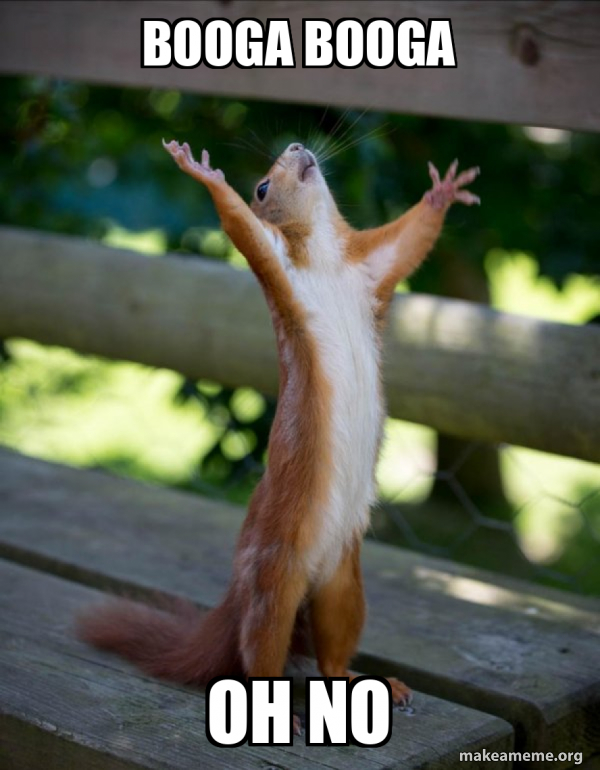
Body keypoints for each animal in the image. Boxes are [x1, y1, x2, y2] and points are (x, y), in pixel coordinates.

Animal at [77, 138, 479, 734]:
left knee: (332, 653)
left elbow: (409, 241)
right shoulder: (277, 266)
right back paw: (278, 714)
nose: (296, 147)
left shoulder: (372, 267)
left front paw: (443, 192)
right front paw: (204, 174)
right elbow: (241, 226)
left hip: (343, 584)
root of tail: (238, 593)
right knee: (259, 654)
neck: (327, 258)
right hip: (274, 581)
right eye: (262, 187)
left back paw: (371, 682)